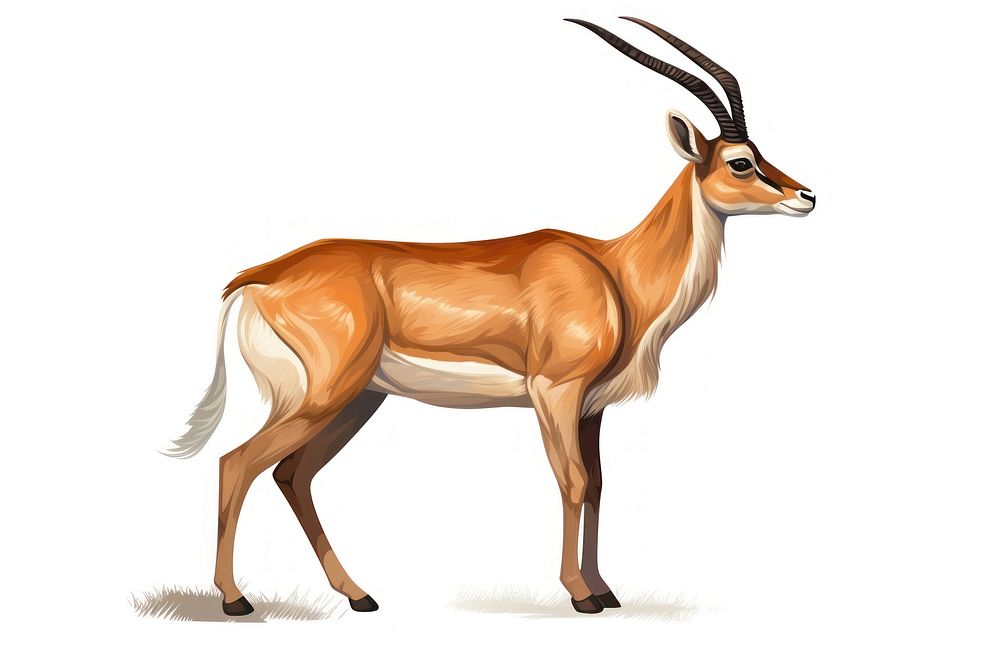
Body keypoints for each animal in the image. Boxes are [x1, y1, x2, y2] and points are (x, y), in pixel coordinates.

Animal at [167, 17, 815, 616]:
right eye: (740, 162)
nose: (805, 195)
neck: (615, 272)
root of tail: (261, 275)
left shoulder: (592, 406)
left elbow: (599, 485)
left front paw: (605, 590)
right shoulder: (554, 392)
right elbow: (572, 480)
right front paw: (580, 594)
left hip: (356, 401)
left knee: (291, 475)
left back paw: (358, 595)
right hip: (324, 397)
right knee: (236, 462)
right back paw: (236, 600)